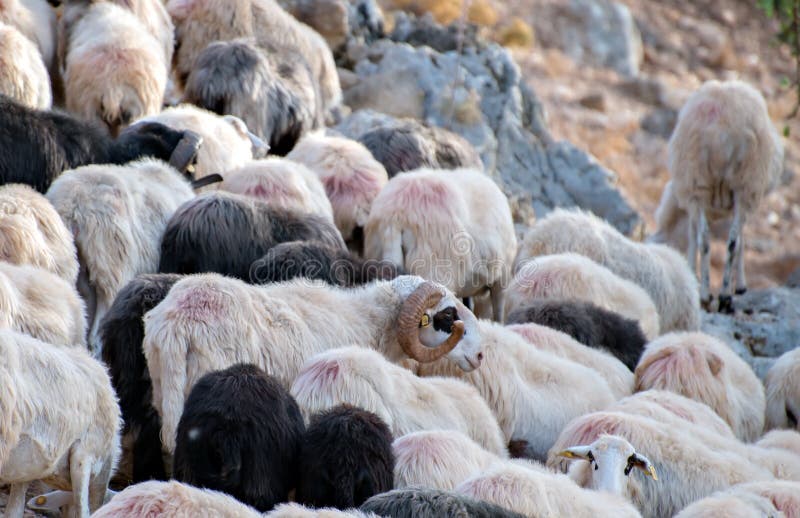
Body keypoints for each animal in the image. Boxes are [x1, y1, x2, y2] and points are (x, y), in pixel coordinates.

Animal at [667, 80, 784, 312]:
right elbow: (740, 239)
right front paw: (739, 286)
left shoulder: (696, 196)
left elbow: (696, 234)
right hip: (743, 184)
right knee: (727, 239)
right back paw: (721, 296)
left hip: (701, 179)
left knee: (710, 239)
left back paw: (712, 295)